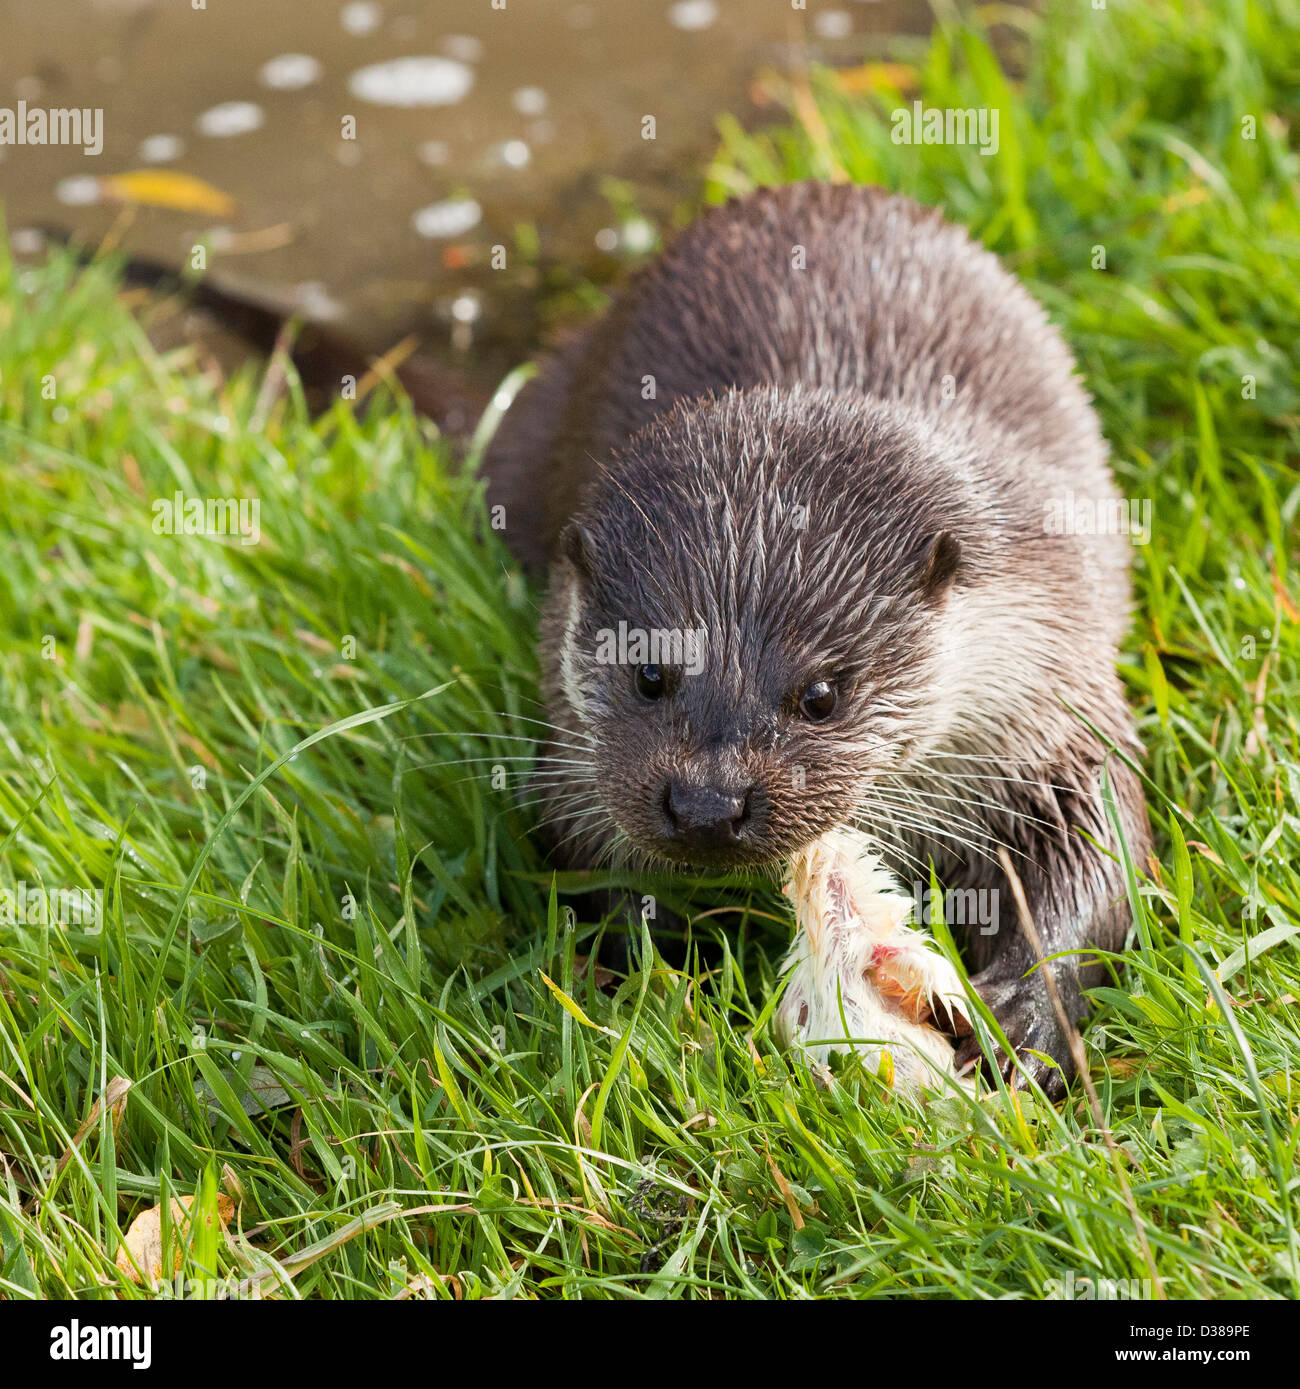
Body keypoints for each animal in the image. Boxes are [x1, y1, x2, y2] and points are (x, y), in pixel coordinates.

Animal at [483, 181, 1150, 1096]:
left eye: (823, 694)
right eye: (648, 674)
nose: (707, 804)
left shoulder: (1058, 704)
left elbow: (1103, 852)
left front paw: (1025, 1015)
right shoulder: (569, 755)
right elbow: (579, 859)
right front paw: (661, 981)